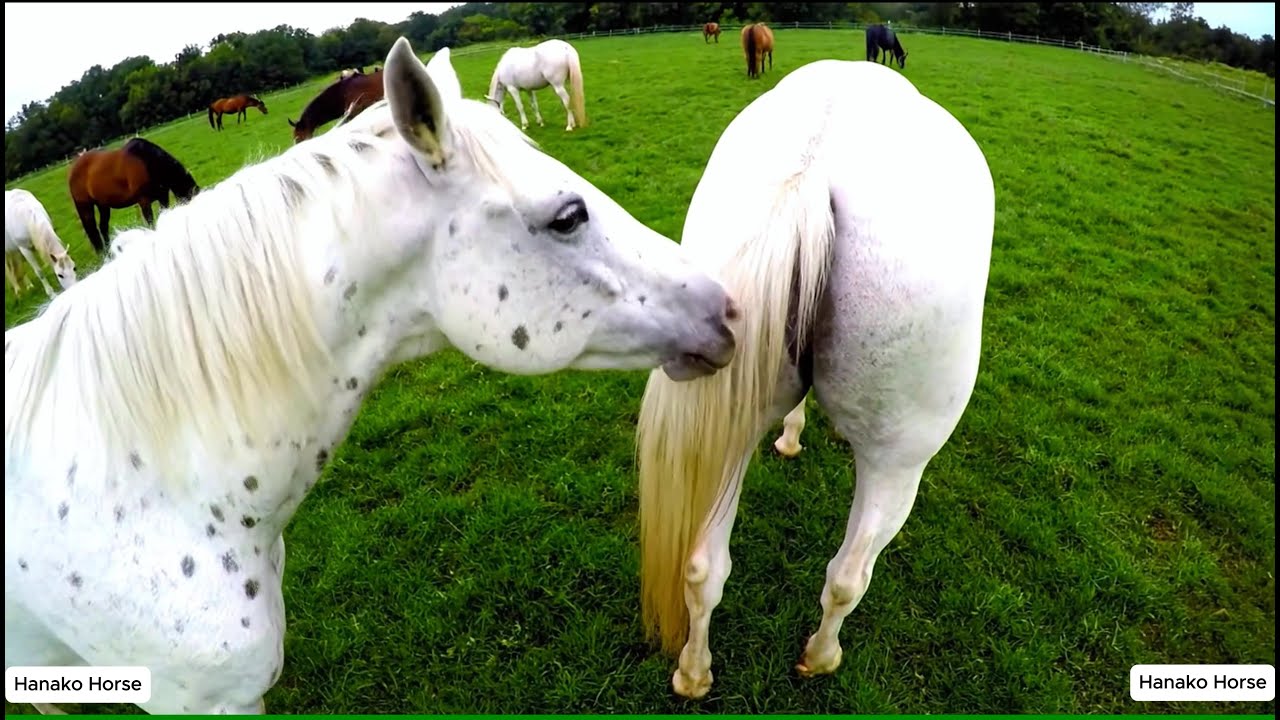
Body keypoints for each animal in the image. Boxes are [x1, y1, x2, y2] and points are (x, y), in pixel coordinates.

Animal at [67, 137, 200, 254]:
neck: (147, 162)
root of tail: (73, 168)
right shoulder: (144, 201)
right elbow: (150, 222)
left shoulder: (163, 197)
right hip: (85, 206)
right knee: (92, 231)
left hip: (103, 205)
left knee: (103, 227)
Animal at [635, 59, 994, 699]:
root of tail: (810, 167)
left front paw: (792, 435)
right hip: (900, 458)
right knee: (850, 574)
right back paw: (821, 657)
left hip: (725, 432)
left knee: (702, 565)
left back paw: (693, 674)